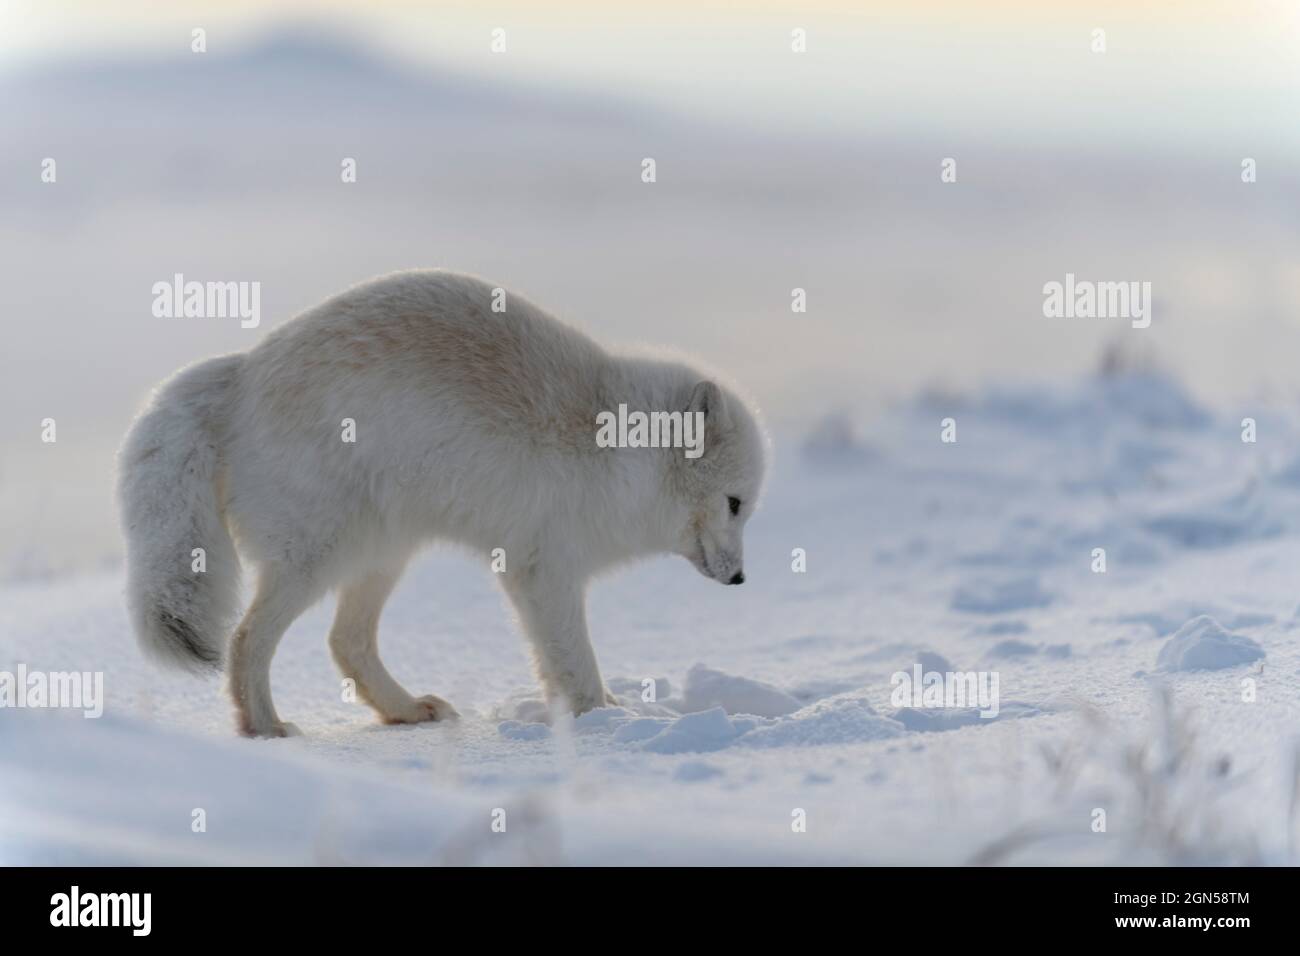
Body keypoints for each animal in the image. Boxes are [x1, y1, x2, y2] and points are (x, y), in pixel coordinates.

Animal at [117, 270, 767, 737]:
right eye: (735, 503)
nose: (740, 578)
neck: (611, 447)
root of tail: (241, 374)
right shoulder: (543, 572)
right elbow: (574, 663)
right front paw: (606, 723)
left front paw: (609, 714)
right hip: (317, 558)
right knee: (247, 640)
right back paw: (266, 729)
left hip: (383, 552)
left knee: (345, 643)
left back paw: (404, 711)